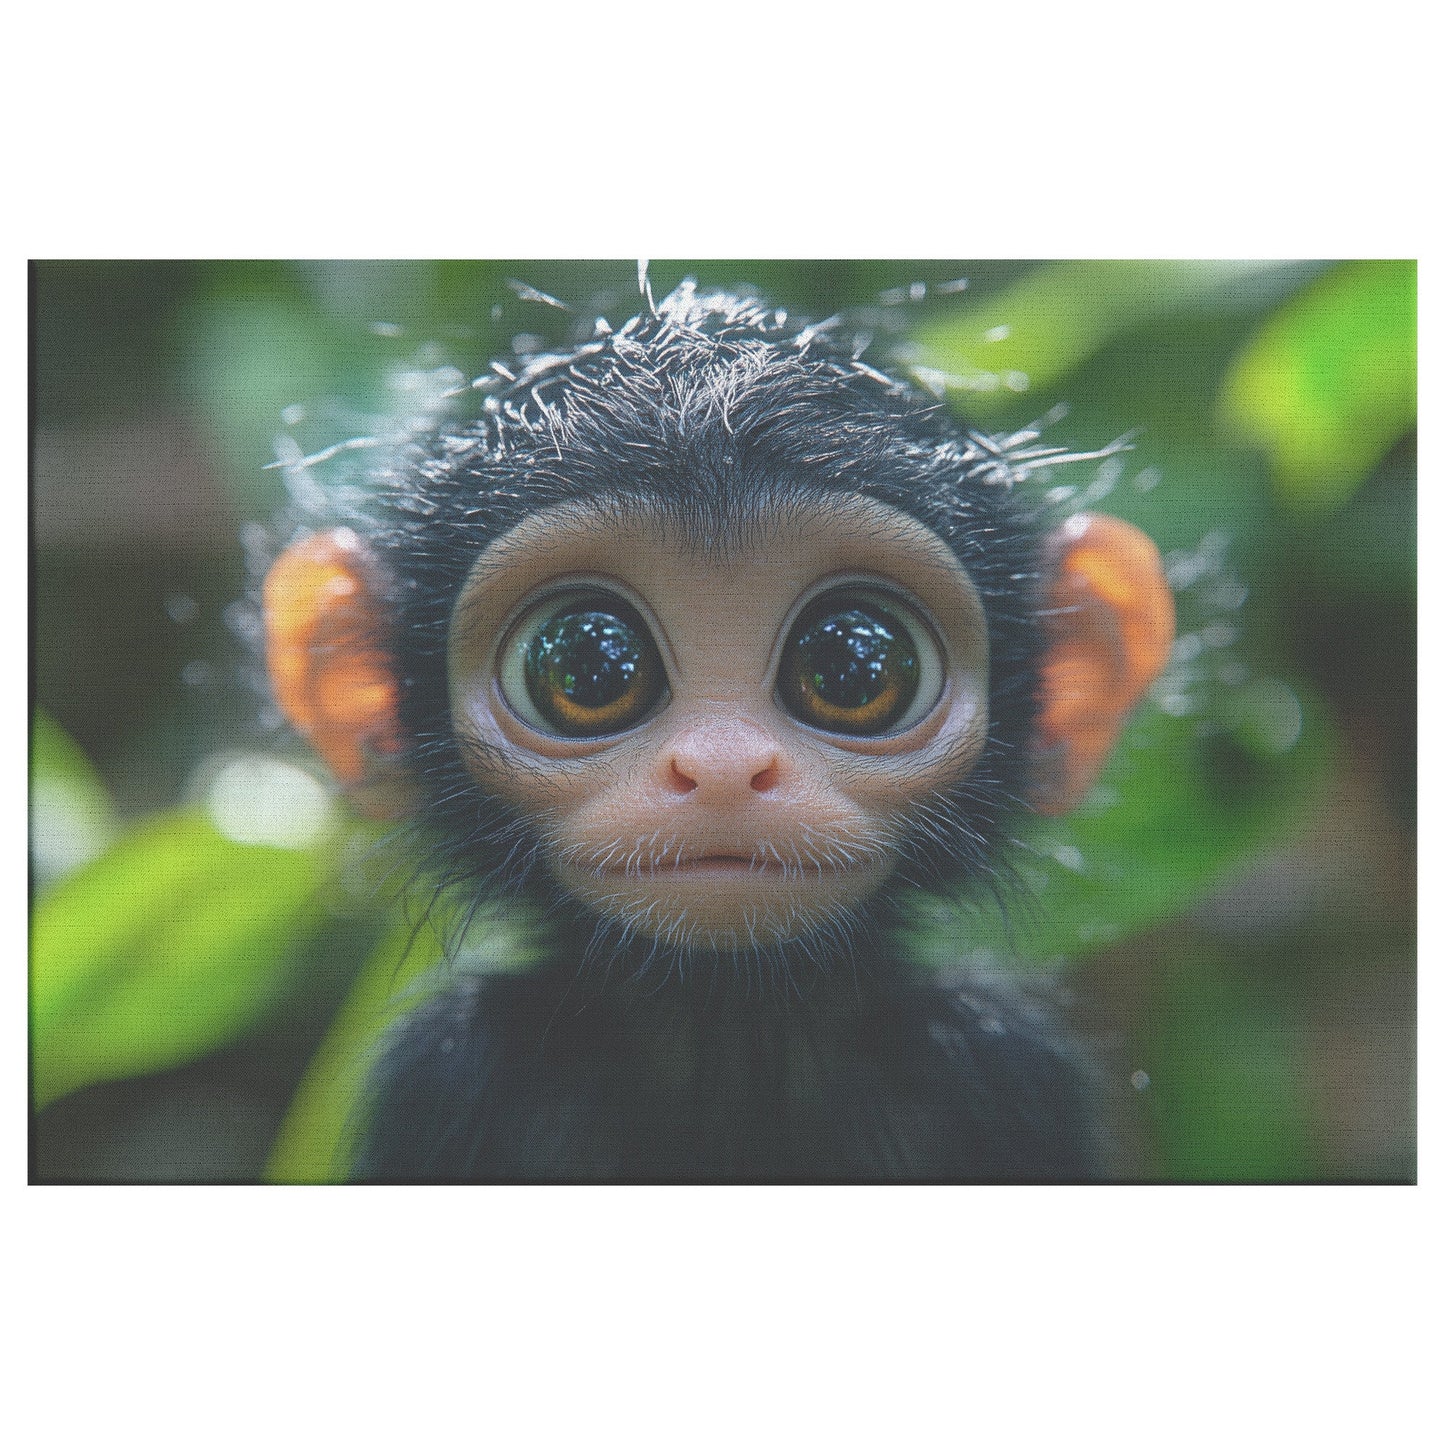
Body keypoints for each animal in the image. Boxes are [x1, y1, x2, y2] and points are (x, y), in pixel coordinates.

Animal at [261, 282, 1174, 1181]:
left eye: (853, 667)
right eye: (587, 666)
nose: (724, 767)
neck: (725, 1030)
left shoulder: (1001, 1066)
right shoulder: (452, 1073)